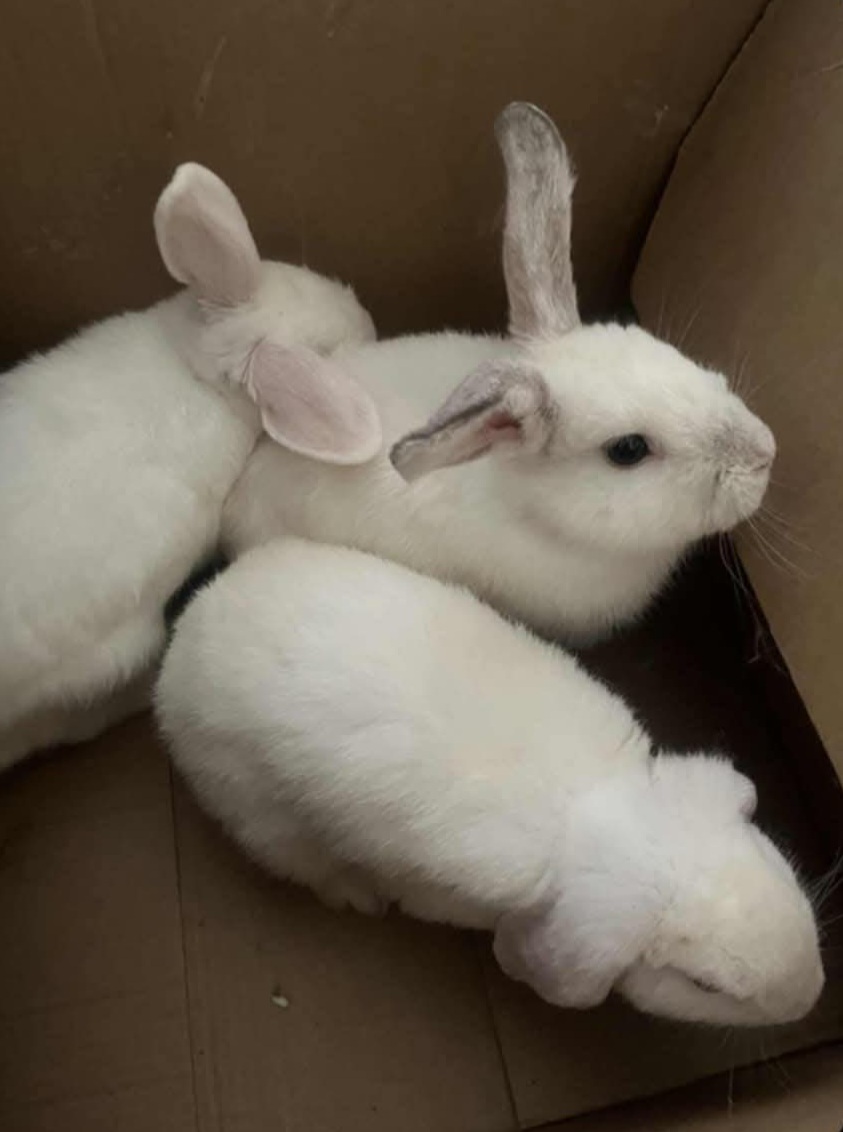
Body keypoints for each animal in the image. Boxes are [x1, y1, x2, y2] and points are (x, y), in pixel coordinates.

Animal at [155, 538, 823, 1028]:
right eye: (702, 984)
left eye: (778, 863)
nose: (811, 996)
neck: (595, 814)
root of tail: (188, 634)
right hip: (261, 813)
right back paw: (359, 894)